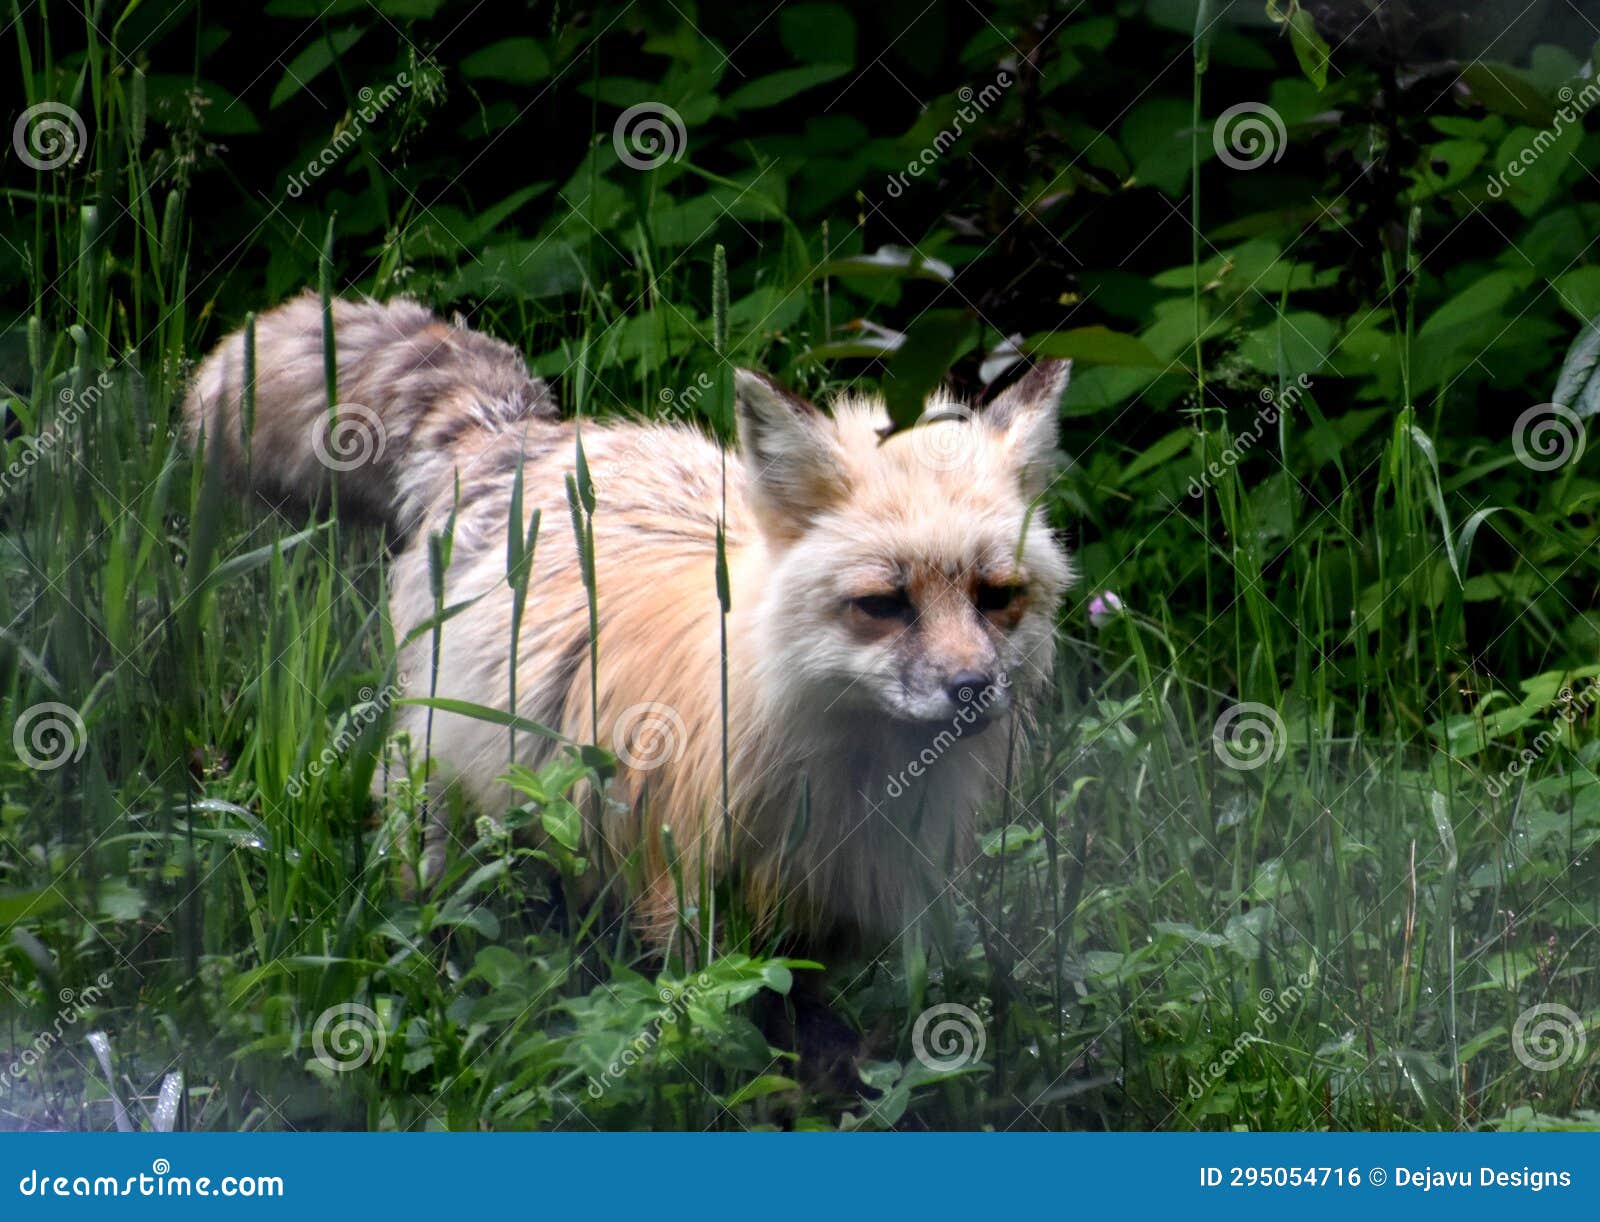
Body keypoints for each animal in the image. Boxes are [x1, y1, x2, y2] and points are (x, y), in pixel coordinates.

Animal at [184, 292, 1072, 960]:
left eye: (996, 595)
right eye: (884, 604)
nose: (972, 689)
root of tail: (527, 433)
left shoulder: (868, 904)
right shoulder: (689, 895)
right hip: (443, 778)